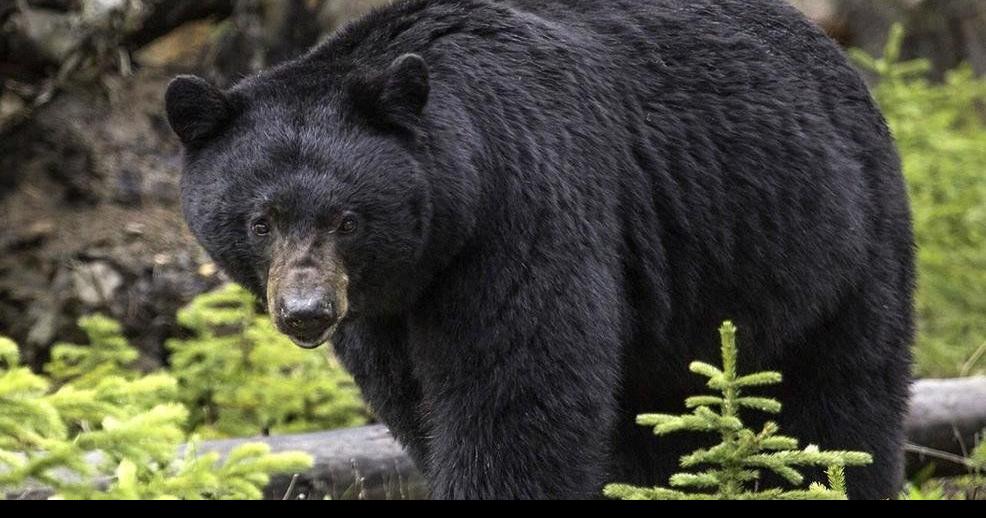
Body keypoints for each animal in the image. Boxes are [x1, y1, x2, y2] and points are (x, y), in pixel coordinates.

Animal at [164, 0, 914, 500]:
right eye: (261, 219)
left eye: (347, 219)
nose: (306, 312)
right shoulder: (384, 311)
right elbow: (416, 407)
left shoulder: (524, 212)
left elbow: (515, 396)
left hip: (833, 246)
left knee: (841, 405)